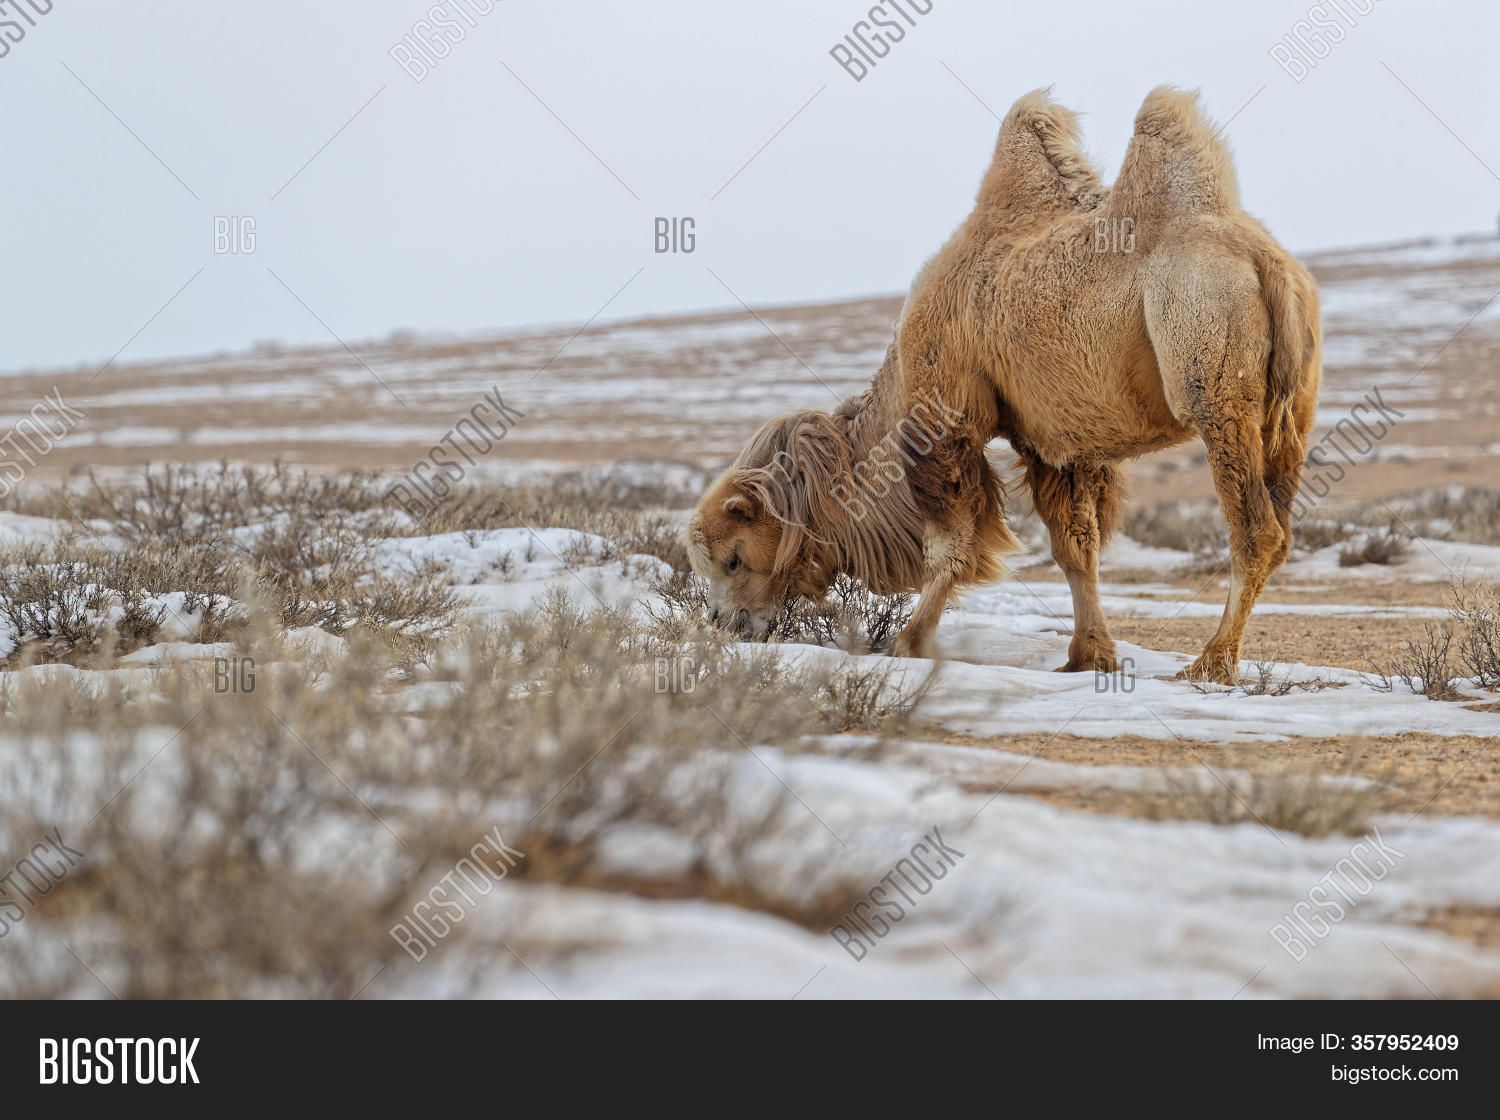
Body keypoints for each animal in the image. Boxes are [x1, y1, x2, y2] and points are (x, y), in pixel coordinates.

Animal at [686, 86, 1321, 684]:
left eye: (733, 558)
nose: (727, 624)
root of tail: (1267, 262)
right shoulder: (1056, 439)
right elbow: (1074, 545)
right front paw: (1089, 656)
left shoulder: (946, 413)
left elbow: (952, 541)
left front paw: (909, 644)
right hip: (1290, 412)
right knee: (1279, 512)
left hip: (1211, 373)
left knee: (1256, 528)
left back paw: (1210, 663)